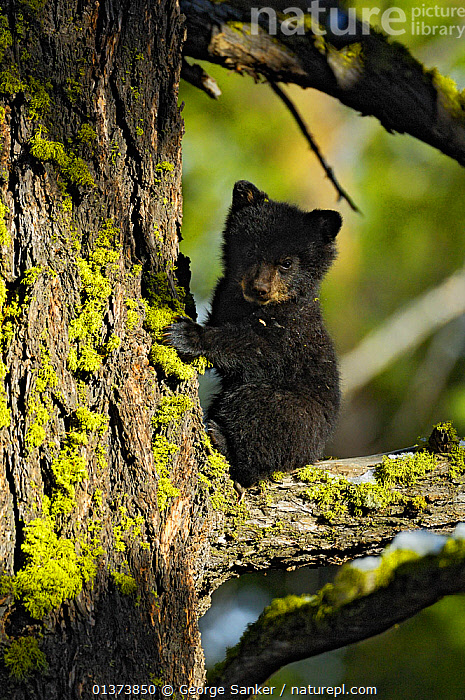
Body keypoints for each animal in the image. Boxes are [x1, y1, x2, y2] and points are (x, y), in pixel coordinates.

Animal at [164, 180, 342, 487]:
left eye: (286, 262)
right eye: (251, 251)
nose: (260, 288)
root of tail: (314, 454)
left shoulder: (289, 333)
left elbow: (252, 347)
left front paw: (188, 334)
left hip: (291, 413)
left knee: (256, 413)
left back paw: (221, 438)